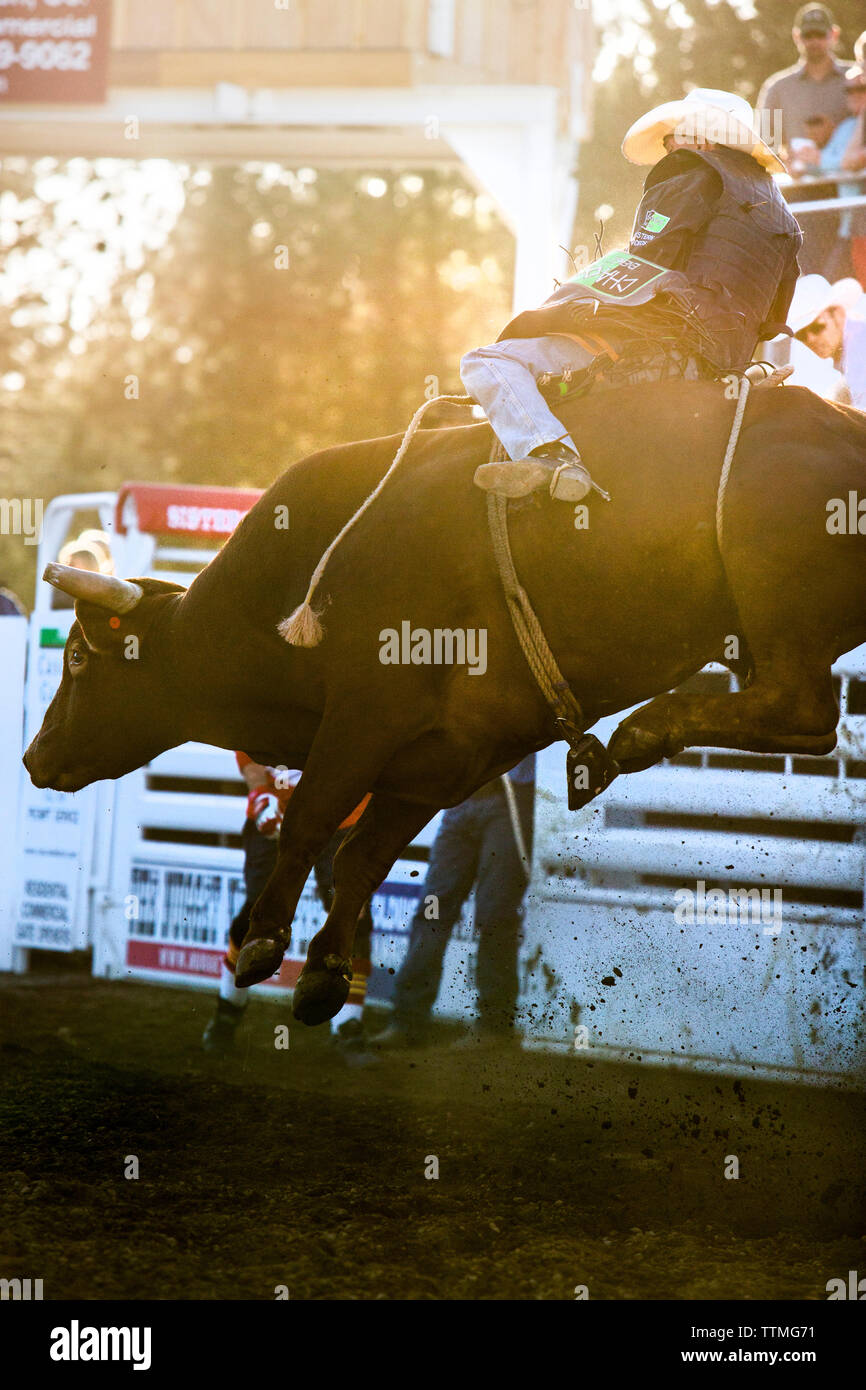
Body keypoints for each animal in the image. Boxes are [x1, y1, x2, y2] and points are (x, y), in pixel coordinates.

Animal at [24, 381, 866, 1026]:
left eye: (77, 659)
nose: (35, 756)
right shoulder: (450, 754)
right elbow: (364, 856)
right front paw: (324, 973)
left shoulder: (366, 714)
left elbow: (311, 820)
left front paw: (264, 940)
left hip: (773, 596)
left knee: (803, 707)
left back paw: (635, 735)